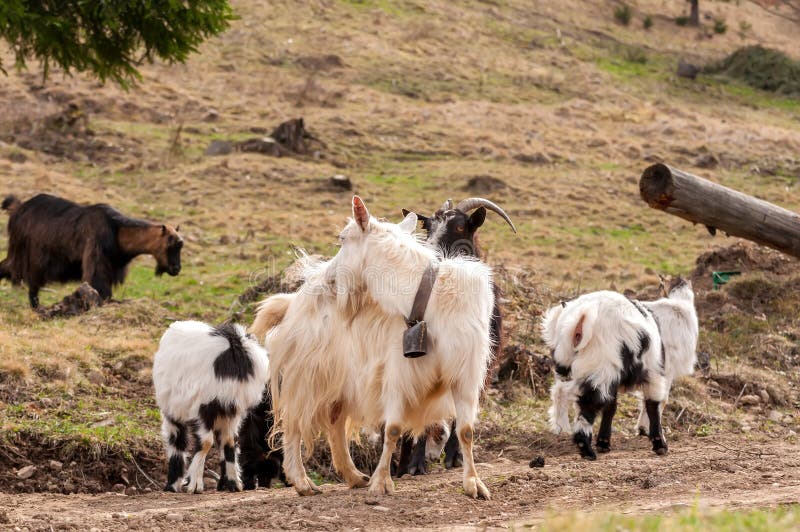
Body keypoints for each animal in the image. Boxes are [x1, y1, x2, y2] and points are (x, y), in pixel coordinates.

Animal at [0, 193, 182, 308]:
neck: (117, 230)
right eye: (169, 244)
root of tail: (18, 209)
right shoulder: (96, 261)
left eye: (180, 245)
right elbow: (101, 289)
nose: (176, 269)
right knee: (28, 282)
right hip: (27, 257)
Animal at [152, 321, 269, 493]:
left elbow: (182, 443)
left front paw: (178, 485)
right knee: (224, 440)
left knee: (208, 441)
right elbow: (222, 443)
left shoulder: (179, 411)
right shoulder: (219, 411)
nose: (254, 483)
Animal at [261, 196, 494, 499]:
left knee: (334, 423)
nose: (328, 278)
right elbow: (392, 429)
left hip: (339, 382)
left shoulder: (465, 375)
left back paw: (353, 476)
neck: (429, 299)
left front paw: (474, 483)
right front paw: (382, 482)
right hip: (308, 373)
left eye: (343, 238)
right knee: (294, 423)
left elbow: (466, 431)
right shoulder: (397, 375)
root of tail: (292, 302)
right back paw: (302, 481)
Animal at [541, 290, 668, 460]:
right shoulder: (653, 373)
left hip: (582, 370)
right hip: (601, 368)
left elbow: (611, 407)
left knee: (571, 396)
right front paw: (660, 444)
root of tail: (579, 322)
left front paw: (603, 442)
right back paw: (585, 448)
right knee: (589, 402)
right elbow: (653, 405)